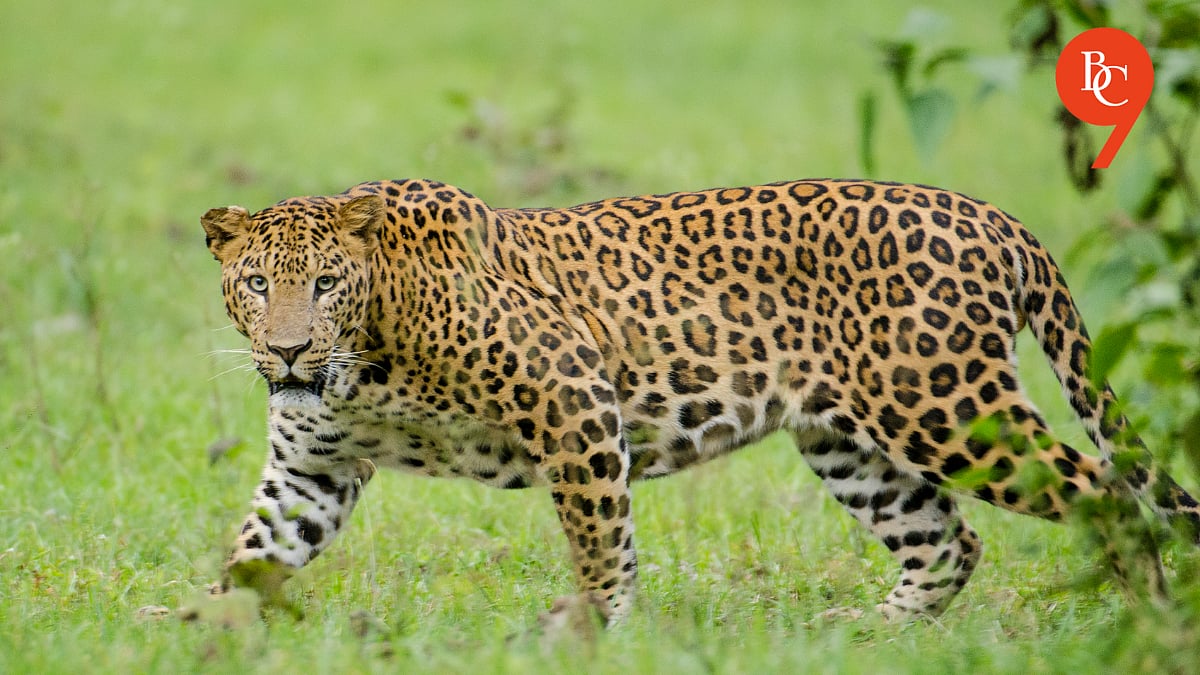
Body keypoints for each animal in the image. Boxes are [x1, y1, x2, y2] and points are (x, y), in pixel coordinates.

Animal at [201, 178, 1200, 624]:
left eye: (326, 283)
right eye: (256, 284)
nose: (288, 349)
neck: (365, 359)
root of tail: (995, 216)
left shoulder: (573, 397)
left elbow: (599, 539)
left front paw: (592, 630)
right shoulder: (312, 467)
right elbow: (255, 549)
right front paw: (198, 628)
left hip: (946, 406)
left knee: (1108, 495)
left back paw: (1151, 622)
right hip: (849, 441)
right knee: (948, 540)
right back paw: (870, 636)